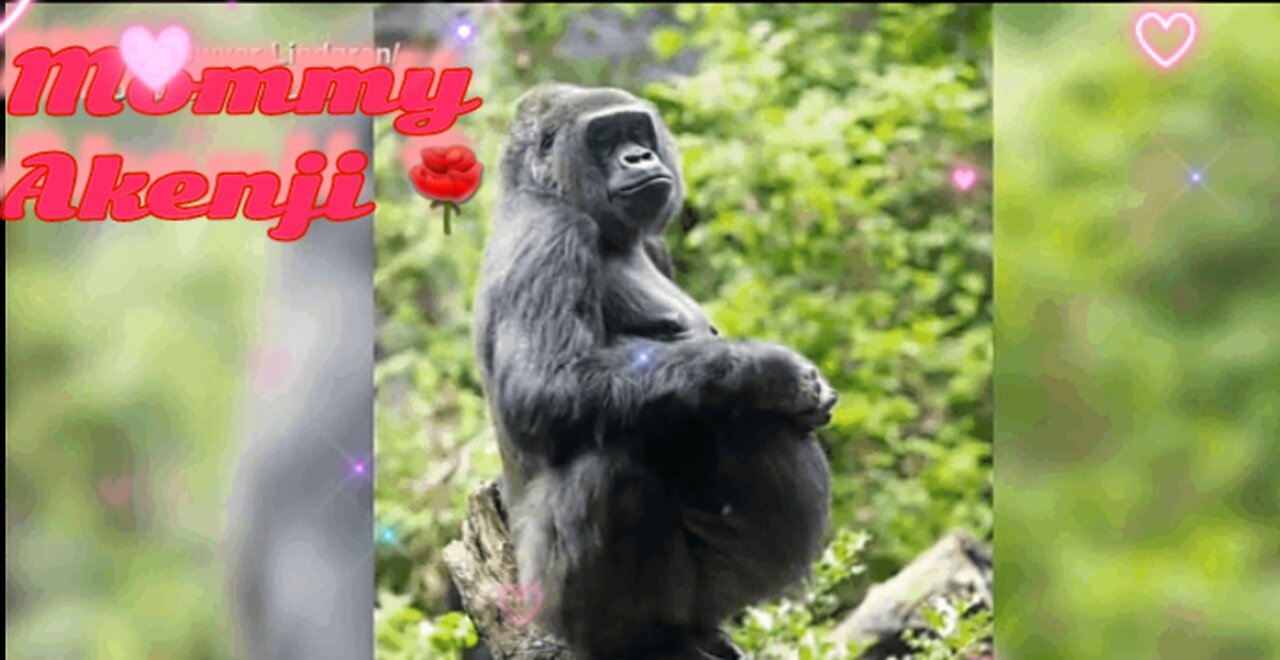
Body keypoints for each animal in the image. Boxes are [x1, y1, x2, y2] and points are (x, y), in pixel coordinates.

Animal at [473, 83, 836, 659]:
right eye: (604, 137)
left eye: (636, 131)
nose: (638, 157)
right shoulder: (551, 237)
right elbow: (543, 389)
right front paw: (773, 373)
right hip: (545, 604)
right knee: (609, 471)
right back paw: (643, 640)